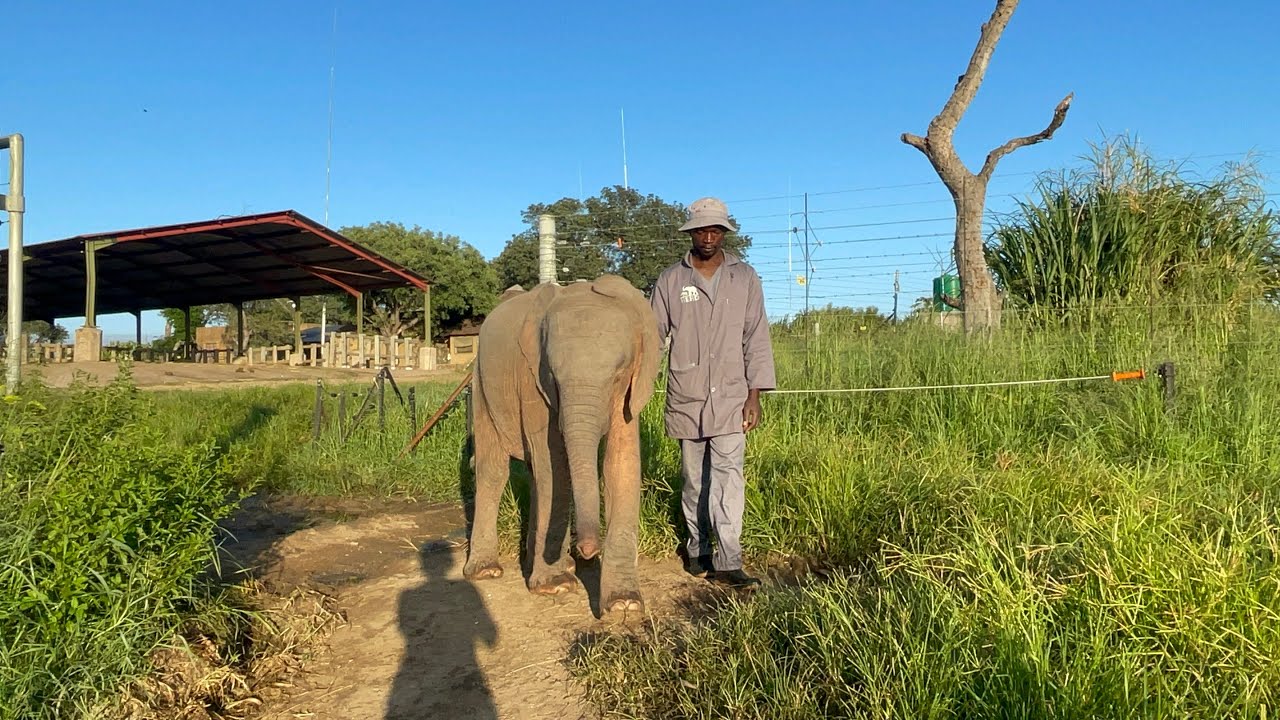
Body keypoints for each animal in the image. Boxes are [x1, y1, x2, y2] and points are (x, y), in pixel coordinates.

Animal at [463, 275, 661, 615]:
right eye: (553, 377)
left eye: (618, 374)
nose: (588, 550)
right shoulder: (530, 379)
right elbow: (554, 463)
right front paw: (555, 587)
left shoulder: (631, 392)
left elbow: (621, 463)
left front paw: (624, 604)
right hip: (481, 384)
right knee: (494, 470)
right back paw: (488, 571)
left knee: (532, 474)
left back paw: (553, 562)